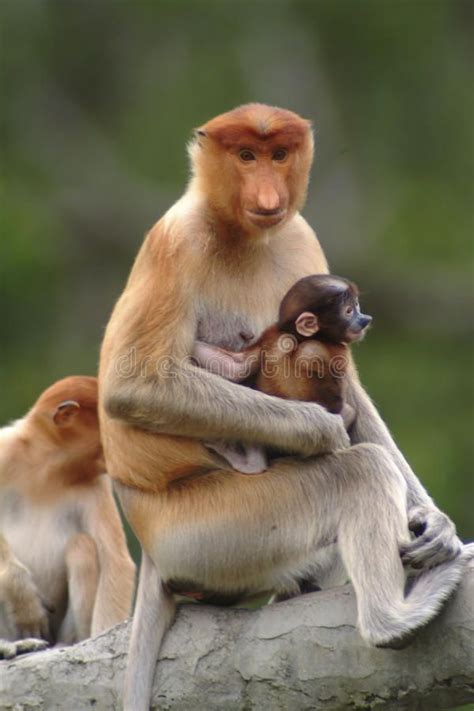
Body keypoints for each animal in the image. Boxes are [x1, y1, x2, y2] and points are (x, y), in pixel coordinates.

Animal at [0, 376, 136, 659]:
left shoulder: (96, 484)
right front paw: (25, 601)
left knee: (82, 546)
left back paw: (65, 644)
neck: (47, 465)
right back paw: (14, 644)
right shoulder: (3, 451)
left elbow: (116, 561)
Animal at [193, 273, 372, 473]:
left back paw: (251, 463)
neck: (298, 338)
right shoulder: (337, 350)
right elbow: (338, 404)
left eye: (357, 306)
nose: (365, 318)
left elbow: (237, 368)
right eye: (349, 310)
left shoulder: (270, 334)